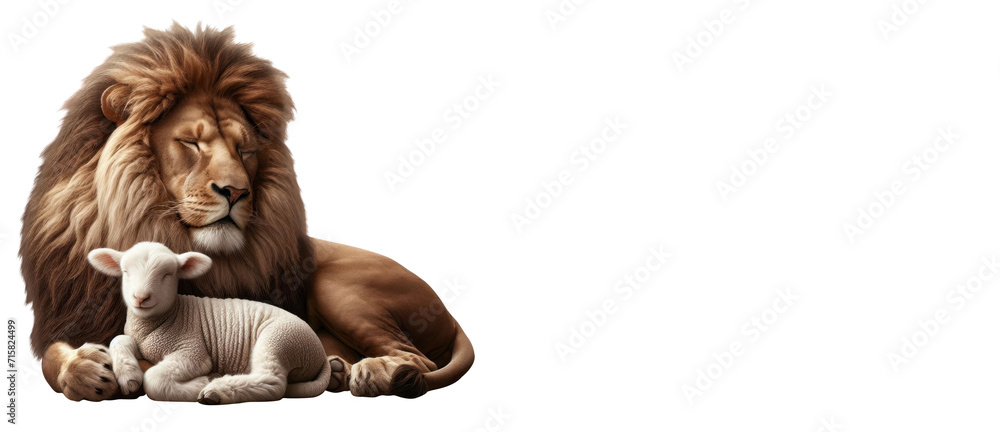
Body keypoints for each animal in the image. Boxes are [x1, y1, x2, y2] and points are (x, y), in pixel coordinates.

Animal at [88, 241, 331, 404]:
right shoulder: (143, 342)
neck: (167, 317)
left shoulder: (192, 351)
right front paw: (128, 376)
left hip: (280, 340)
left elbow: (154, 379)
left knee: (273, 382)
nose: (140, 297)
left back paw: (215, 391)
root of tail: (319, 353)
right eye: (125, 272)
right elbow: (119, 339)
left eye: (167, 274)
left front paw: (200, 383)